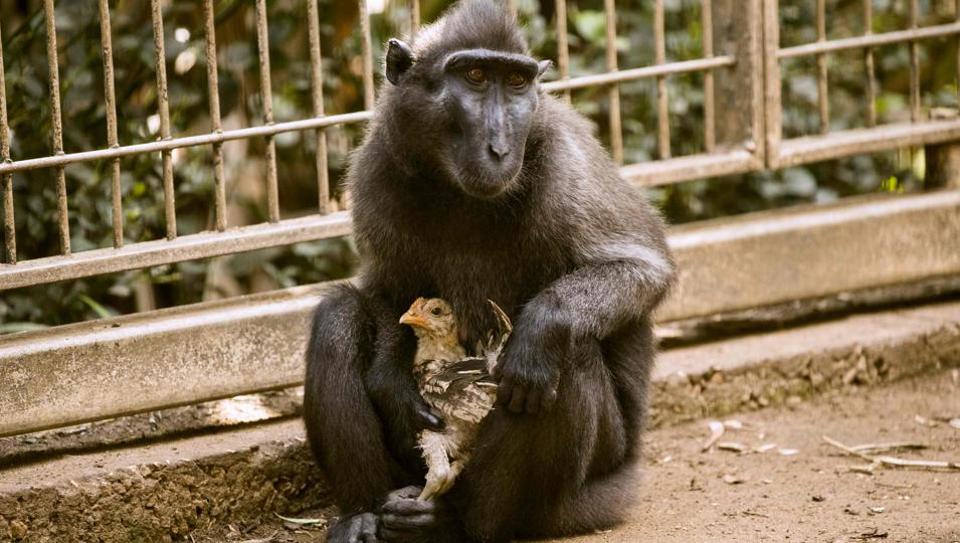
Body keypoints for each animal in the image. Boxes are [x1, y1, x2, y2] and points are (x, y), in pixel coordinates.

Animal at [303, 1, 675, 542]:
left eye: (517, 82)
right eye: (475, 76)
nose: (499, 148)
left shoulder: (566, 158)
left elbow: (643, 267)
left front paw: (541, 327)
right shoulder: (376, 167)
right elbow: (387, 291)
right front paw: (391, 378)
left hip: (597, 461)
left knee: (562, 353)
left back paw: (457, 523)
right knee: (338, 316)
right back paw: (363, 514)